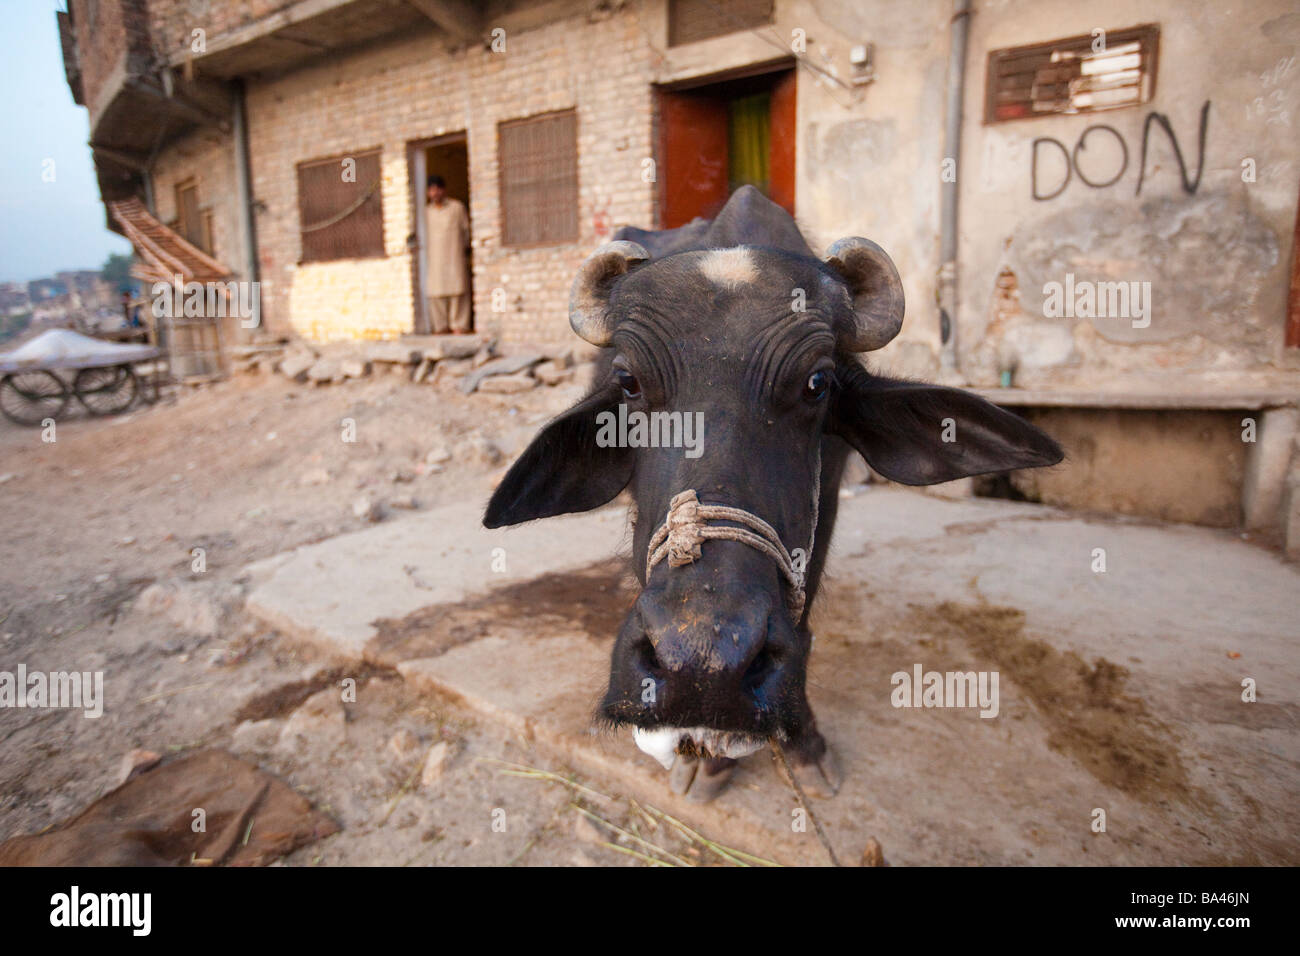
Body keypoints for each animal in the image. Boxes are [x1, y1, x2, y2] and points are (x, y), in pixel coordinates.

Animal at [484, 186, 1062, 802]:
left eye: (817, 383)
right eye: (628, 382)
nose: (702, 666)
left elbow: (803, 624)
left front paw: (802, 744)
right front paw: (705, 755)